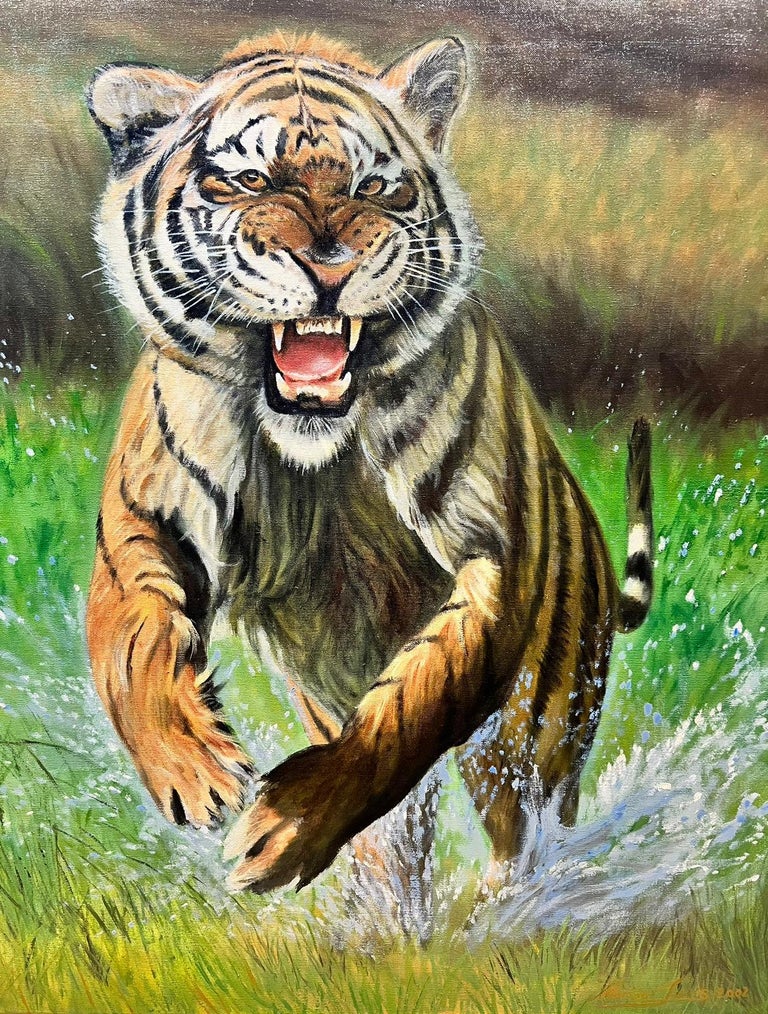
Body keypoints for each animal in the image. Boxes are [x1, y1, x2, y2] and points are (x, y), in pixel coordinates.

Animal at [85, 31, 653, 893]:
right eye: (249, 181)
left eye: (376, 187)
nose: (329, 266)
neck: (311, 451)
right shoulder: (145, 524)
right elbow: (133, 651)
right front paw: (198, 772)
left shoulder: (489, 561)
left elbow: (412, 711)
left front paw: (286, 824)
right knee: (395, 856)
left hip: (540, 727)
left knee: (524, 830)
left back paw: (505, 909)